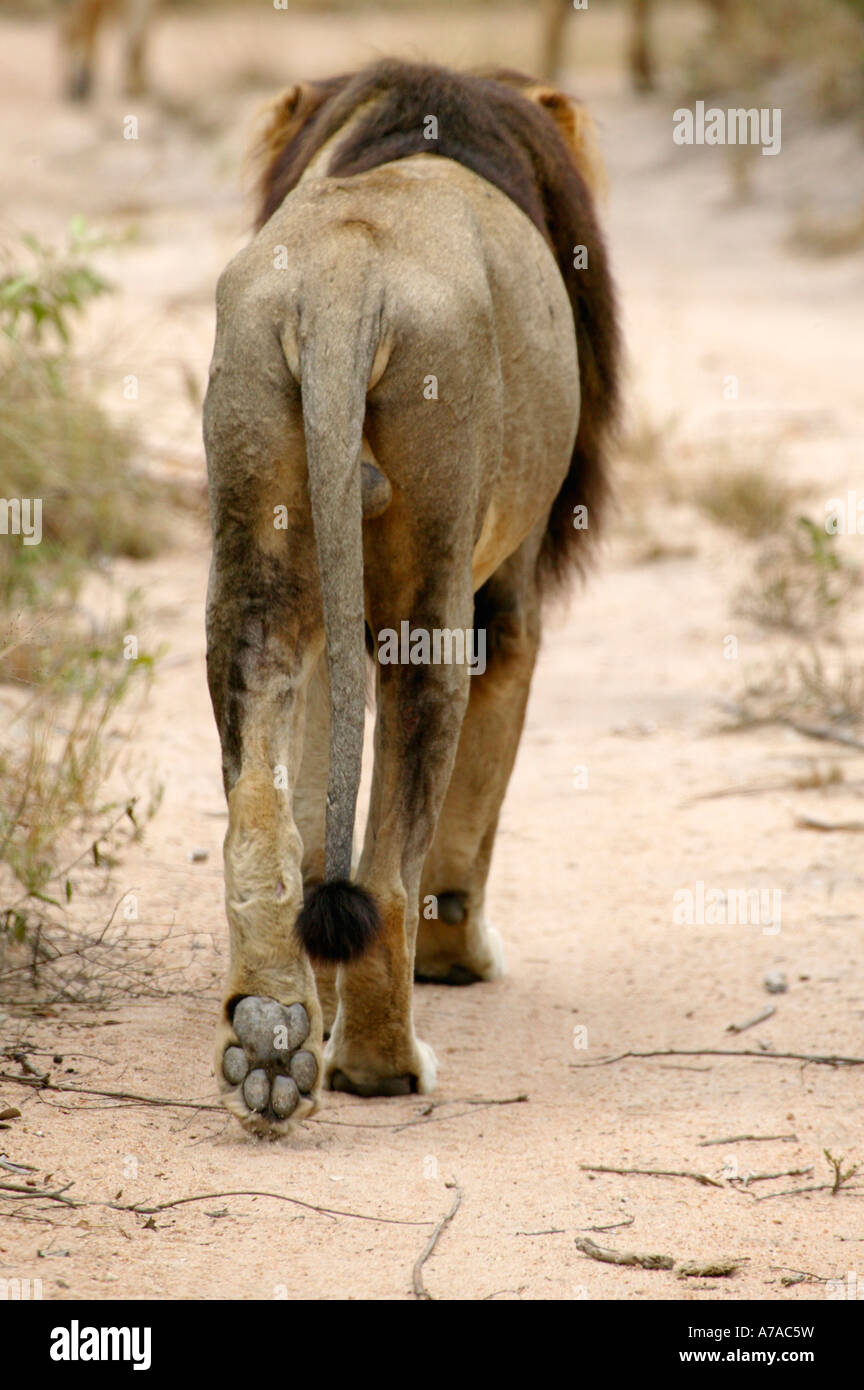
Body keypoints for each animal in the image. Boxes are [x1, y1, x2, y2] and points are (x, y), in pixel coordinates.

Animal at [203, 58, 621, 1136]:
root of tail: (346, 273)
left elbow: (316, 782)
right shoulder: (509, 602)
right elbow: (472, 812)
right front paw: (461, 958)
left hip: (257, 549)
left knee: (262, 816)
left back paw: (272, 1041)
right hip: (439, 590)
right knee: (390, 874)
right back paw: (384, 1061)